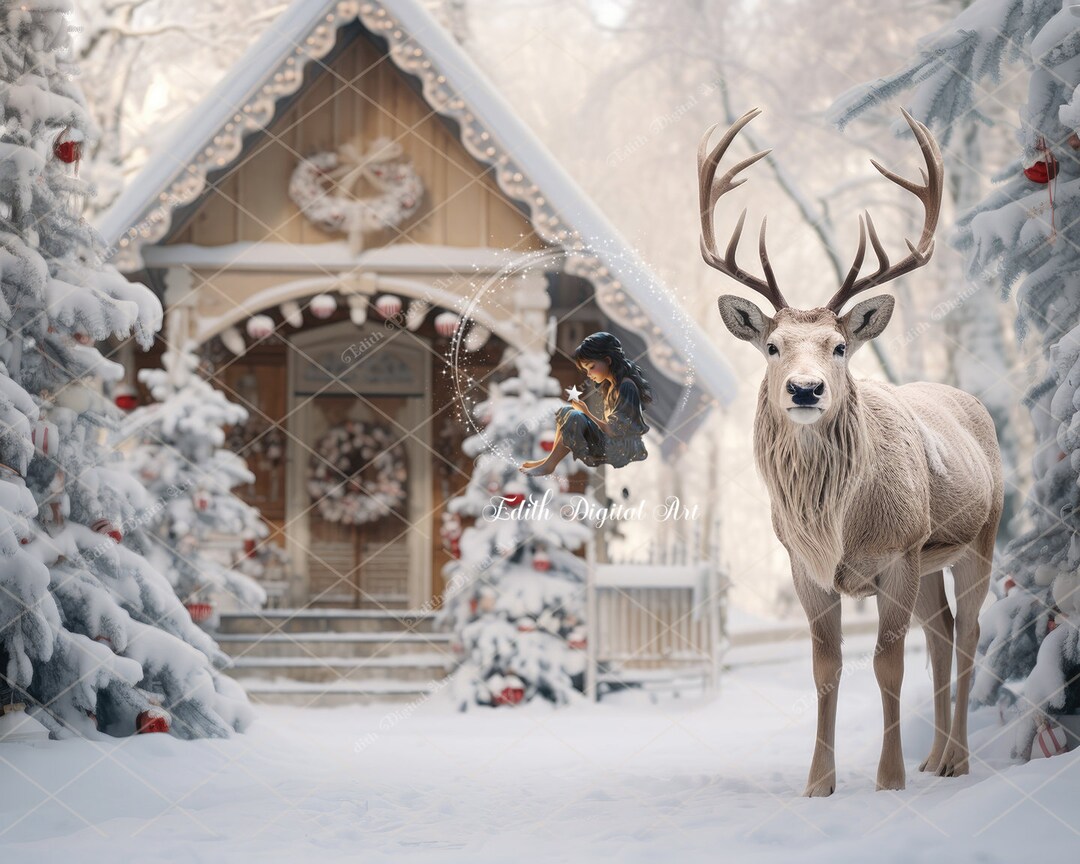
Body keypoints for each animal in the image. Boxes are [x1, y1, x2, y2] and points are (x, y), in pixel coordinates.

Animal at [699, 107, 1003, 796]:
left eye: (839, 346)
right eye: (773, 346)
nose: (806, 389)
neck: (838, 526)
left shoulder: (898, 551)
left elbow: (887, 663)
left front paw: (888, 781)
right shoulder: (805, 568)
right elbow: (826, 666)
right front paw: (819, 783)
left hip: (978, 536)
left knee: (969, 633)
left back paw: (957, 761)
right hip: (931, 556)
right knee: (941, 631)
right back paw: (934, 757)